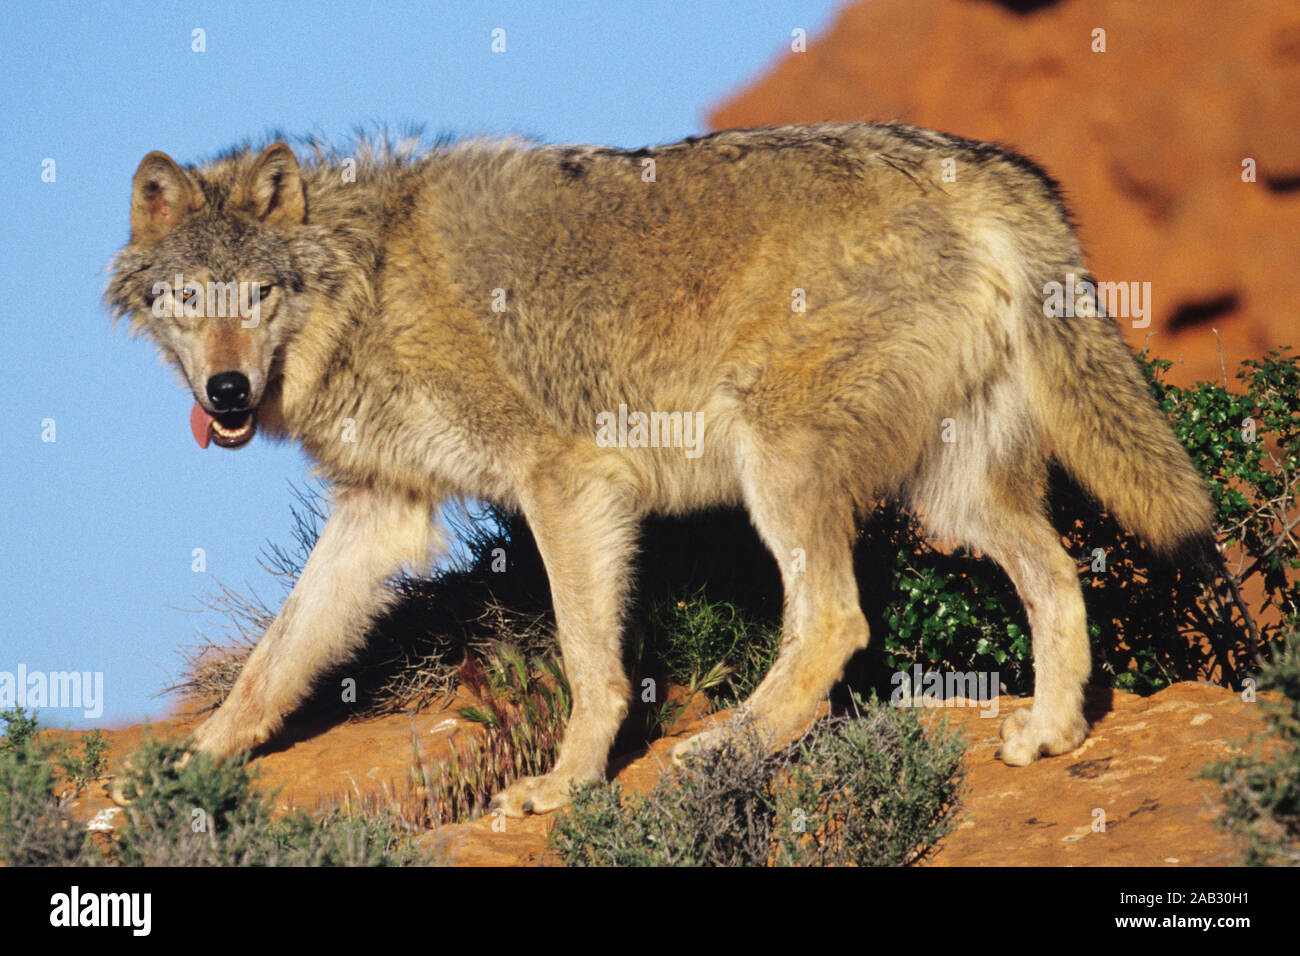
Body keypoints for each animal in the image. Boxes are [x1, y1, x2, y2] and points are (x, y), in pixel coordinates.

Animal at [106, 123, 1214, 815]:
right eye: (189, 299)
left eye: (256, 295)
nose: (227, 393)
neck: (365, 283)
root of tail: (976, 161)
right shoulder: (384, 511)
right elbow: (274, 658)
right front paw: (184, 767)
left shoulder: (566, 482)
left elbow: (590, 663)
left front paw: (566, 784)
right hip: (956, 495)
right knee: (1058, 574)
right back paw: (1050, 733)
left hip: (784, 467)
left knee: (836, 621)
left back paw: (728, 744)